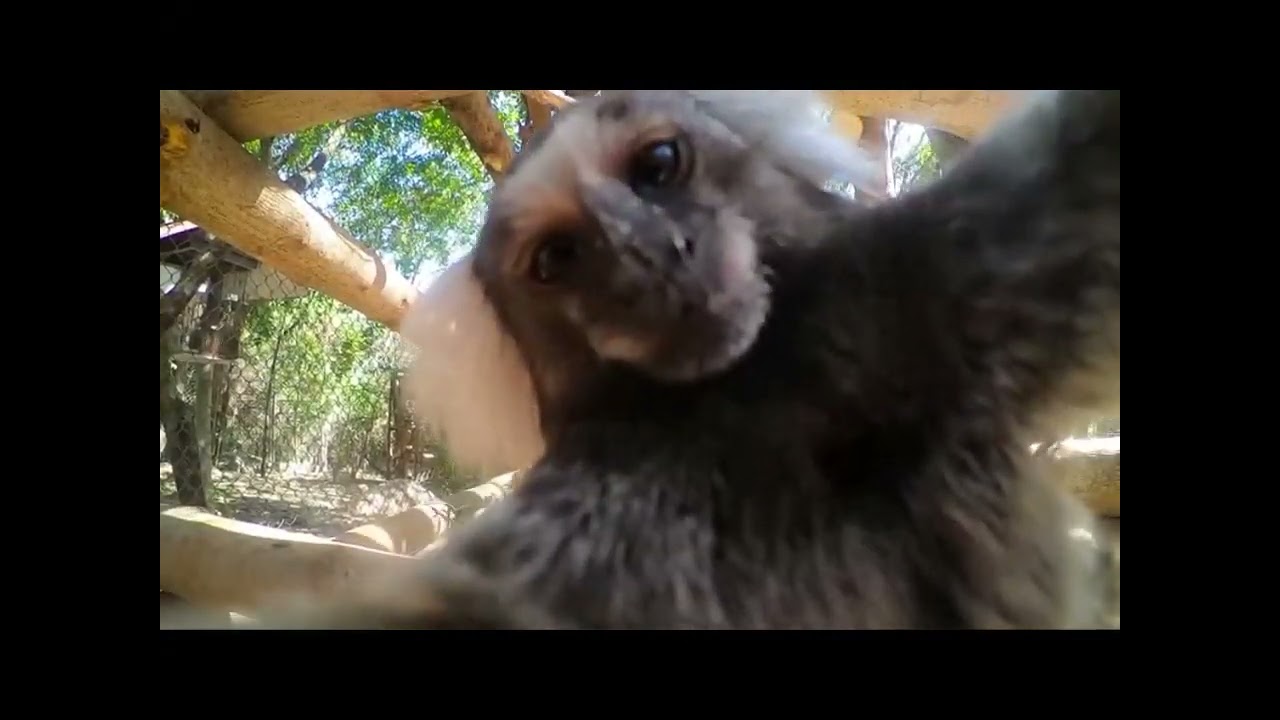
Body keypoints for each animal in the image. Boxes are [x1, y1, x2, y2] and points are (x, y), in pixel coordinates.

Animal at [271, 89, 1119, 630]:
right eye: (557, 258)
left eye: (659, 164)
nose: (652, 254)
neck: (761, 391)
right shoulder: (609, 519)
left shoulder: (915, 279)